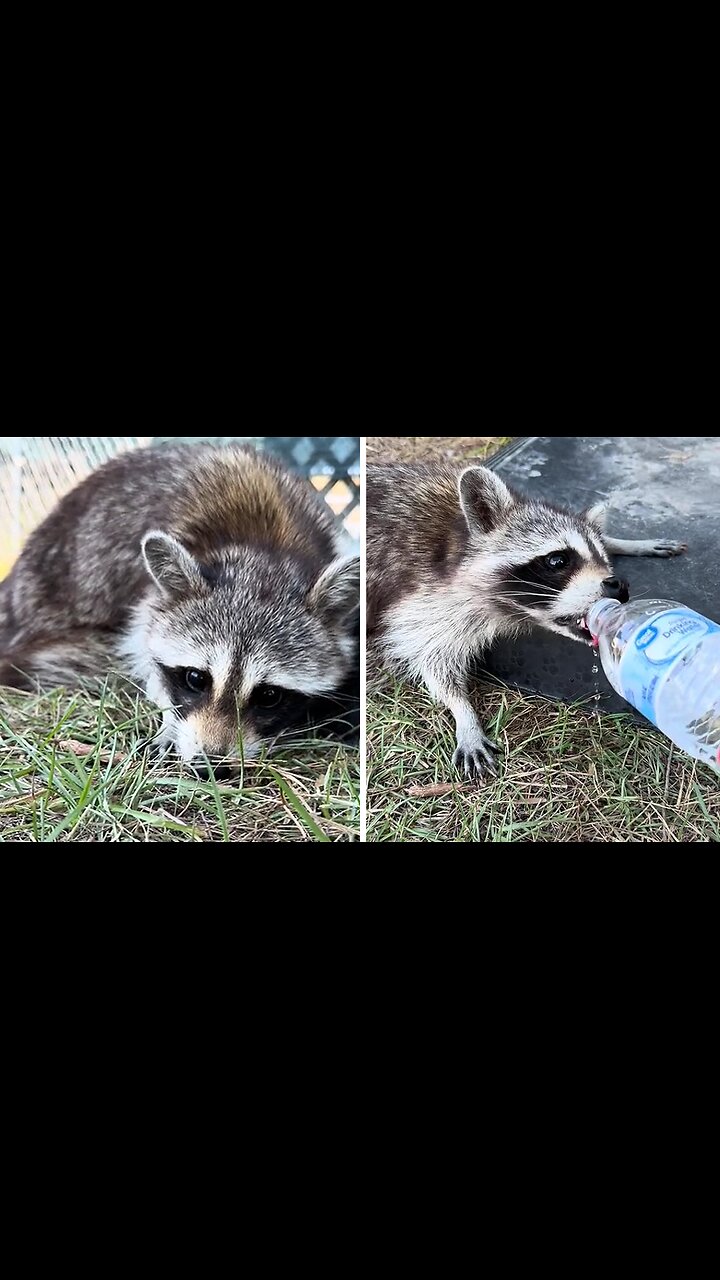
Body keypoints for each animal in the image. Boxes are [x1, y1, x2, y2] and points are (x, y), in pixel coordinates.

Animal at [0, 444, 359, 764]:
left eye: (269, 695)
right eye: (196, 678)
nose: (211, 764)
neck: (265, 549)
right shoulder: (146, 599)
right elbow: (141, 648)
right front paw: (169, 716)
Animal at [367, 462, 686, 779]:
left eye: (604, 560)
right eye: (557, 560)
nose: (618, 584)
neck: (459, 538)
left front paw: (622, 542)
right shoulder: (422, 599)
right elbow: (431, 658)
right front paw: (463, 711)